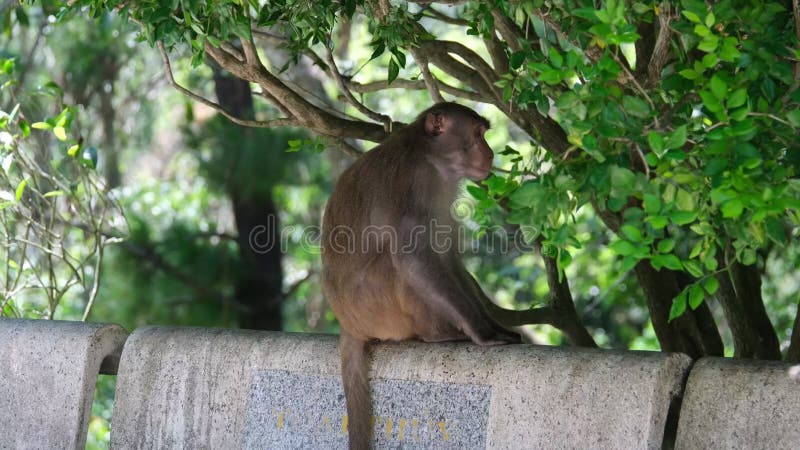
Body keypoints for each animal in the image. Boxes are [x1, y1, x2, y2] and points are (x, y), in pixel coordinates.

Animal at [321, 102, 521, 450]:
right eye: (477, 134)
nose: (490, 153)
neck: (428, 157)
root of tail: (350, 325)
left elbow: (447, 257)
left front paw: (493, 325)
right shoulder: (411, 182)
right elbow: (414, 258)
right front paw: (483, 333)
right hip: (377, 308)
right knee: (398, 265)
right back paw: (435, 333)